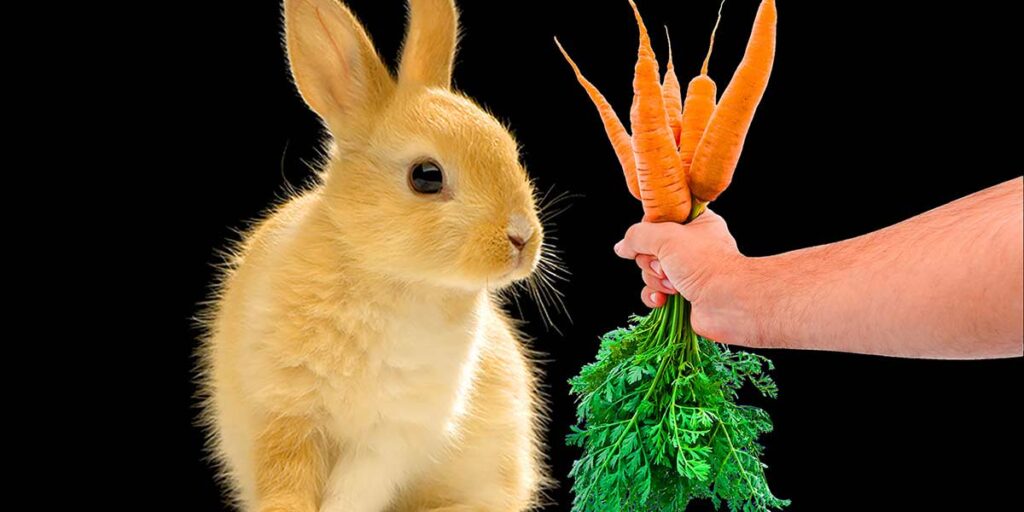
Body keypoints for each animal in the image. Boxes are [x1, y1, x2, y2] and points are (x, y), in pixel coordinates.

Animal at [196, 0, 557, 511]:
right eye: (426, 176)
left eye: (508, 149)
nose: (523, 238)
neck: (384, 278)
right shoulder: (286, 413)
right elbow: (286, 482)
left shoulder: (387, 439)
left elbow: (352, 491)